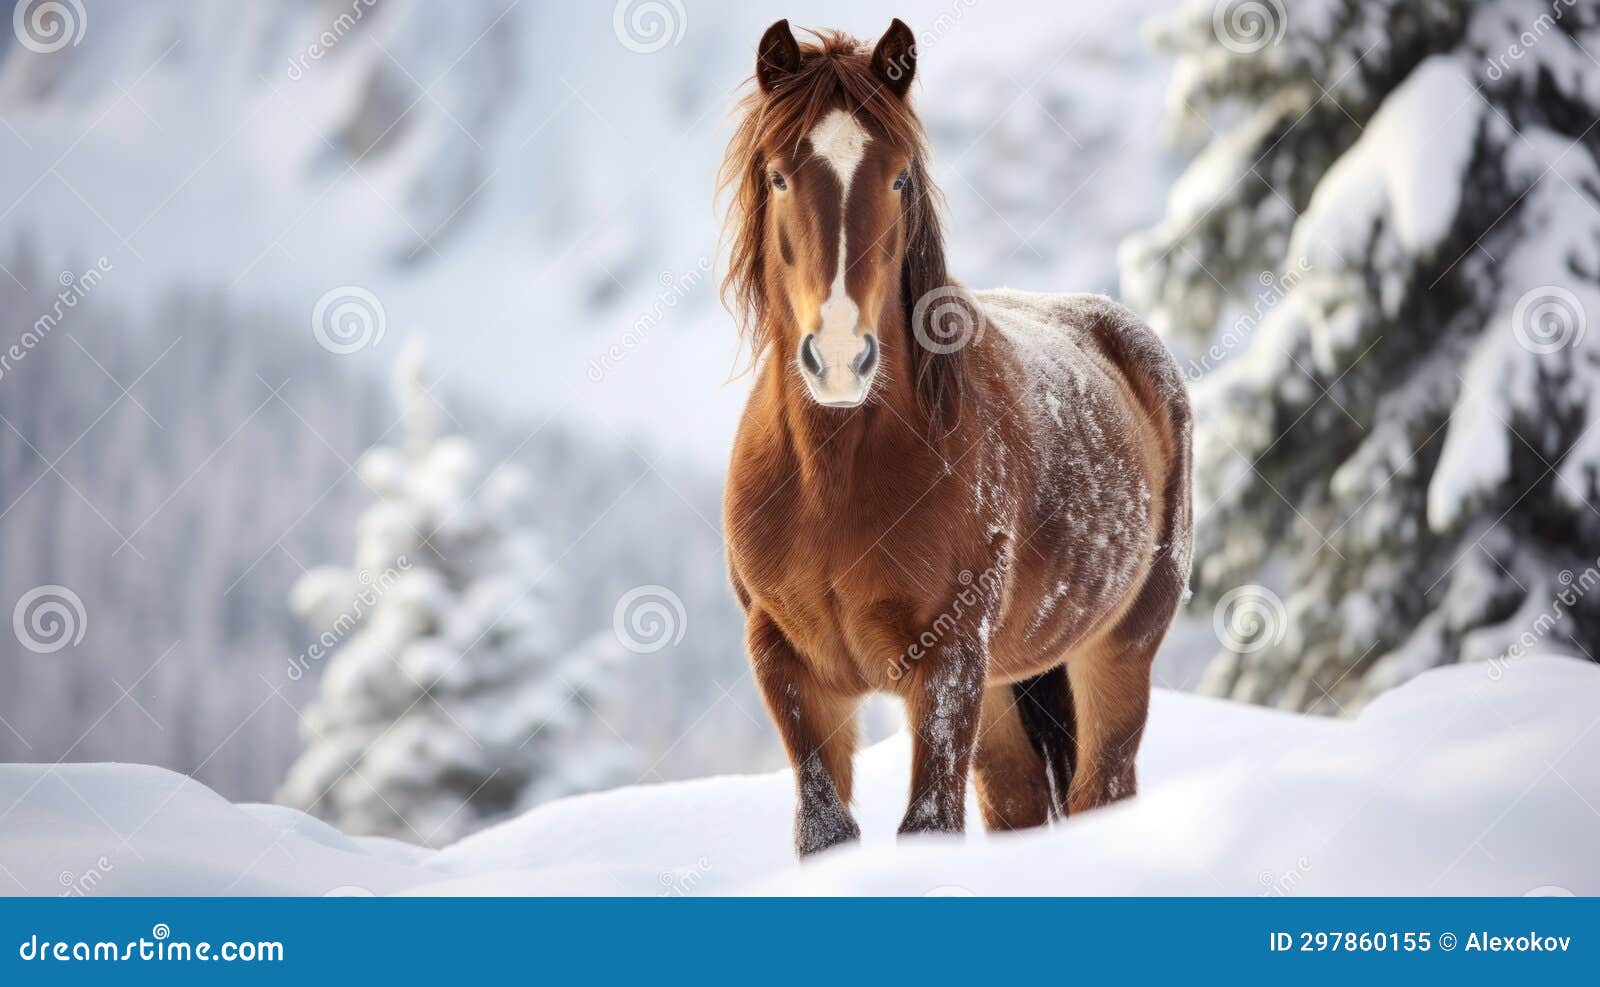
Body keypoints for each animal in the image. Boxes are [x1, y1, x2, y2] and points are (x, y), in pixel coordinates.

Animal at [718, 18, 1193, 857]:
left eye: (901, 178)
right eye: (777, 177)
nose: (839, 357)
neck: (835, 480)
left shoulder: (948, 658)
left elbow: (927, 822)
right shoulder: (785, 660)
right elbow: (826, 828)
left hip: (1115, 649)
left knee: (1101, 788)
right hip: (1007, 685)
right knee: (1018, 801)